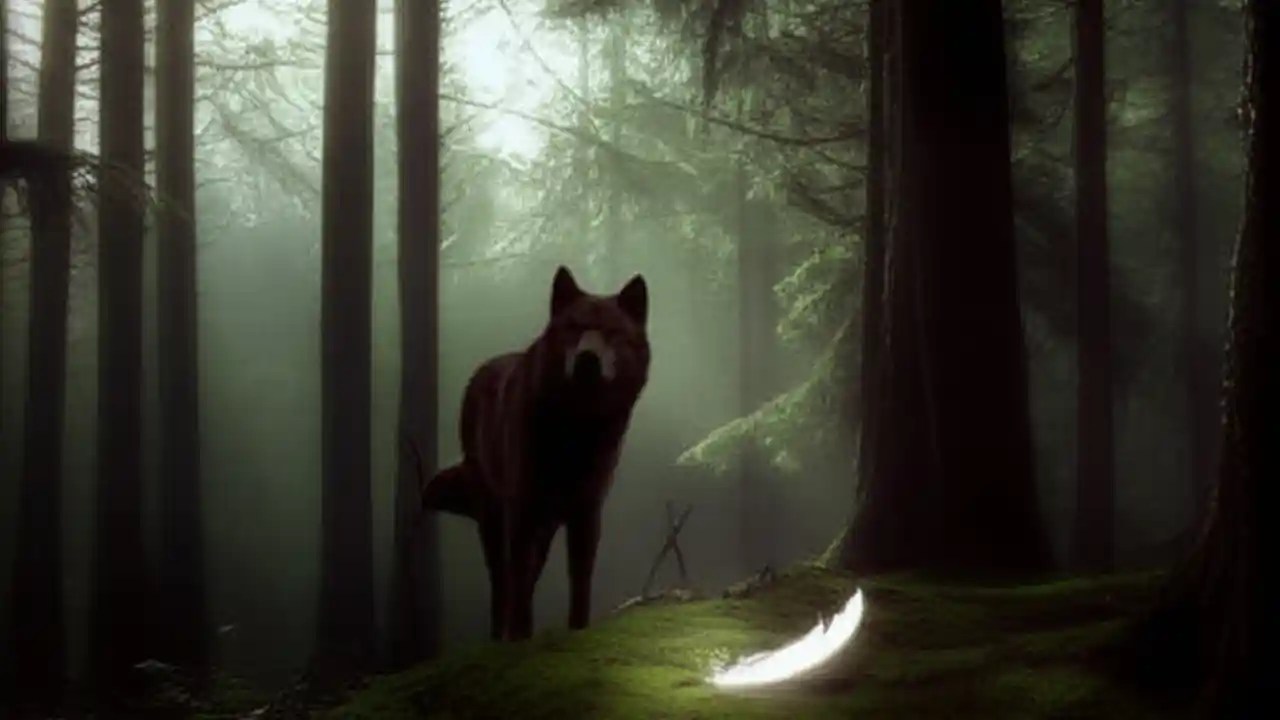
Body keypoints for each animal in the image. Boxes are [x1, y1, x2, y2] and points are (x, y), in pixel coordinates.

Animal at [422, 266, 650, 641]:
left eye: (613, 332)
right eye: (573, 328)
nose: (587, 359)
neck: (575, 433)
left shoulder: (587, 512)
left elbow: (579, 585)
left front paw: (578, 633)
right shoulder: (522, 509)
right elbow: (517, 587)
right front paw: (520, 640)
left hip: (544, 528)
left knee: (525, 578)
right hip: (494, 520)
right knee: (503, 584)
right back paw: (500, 637)